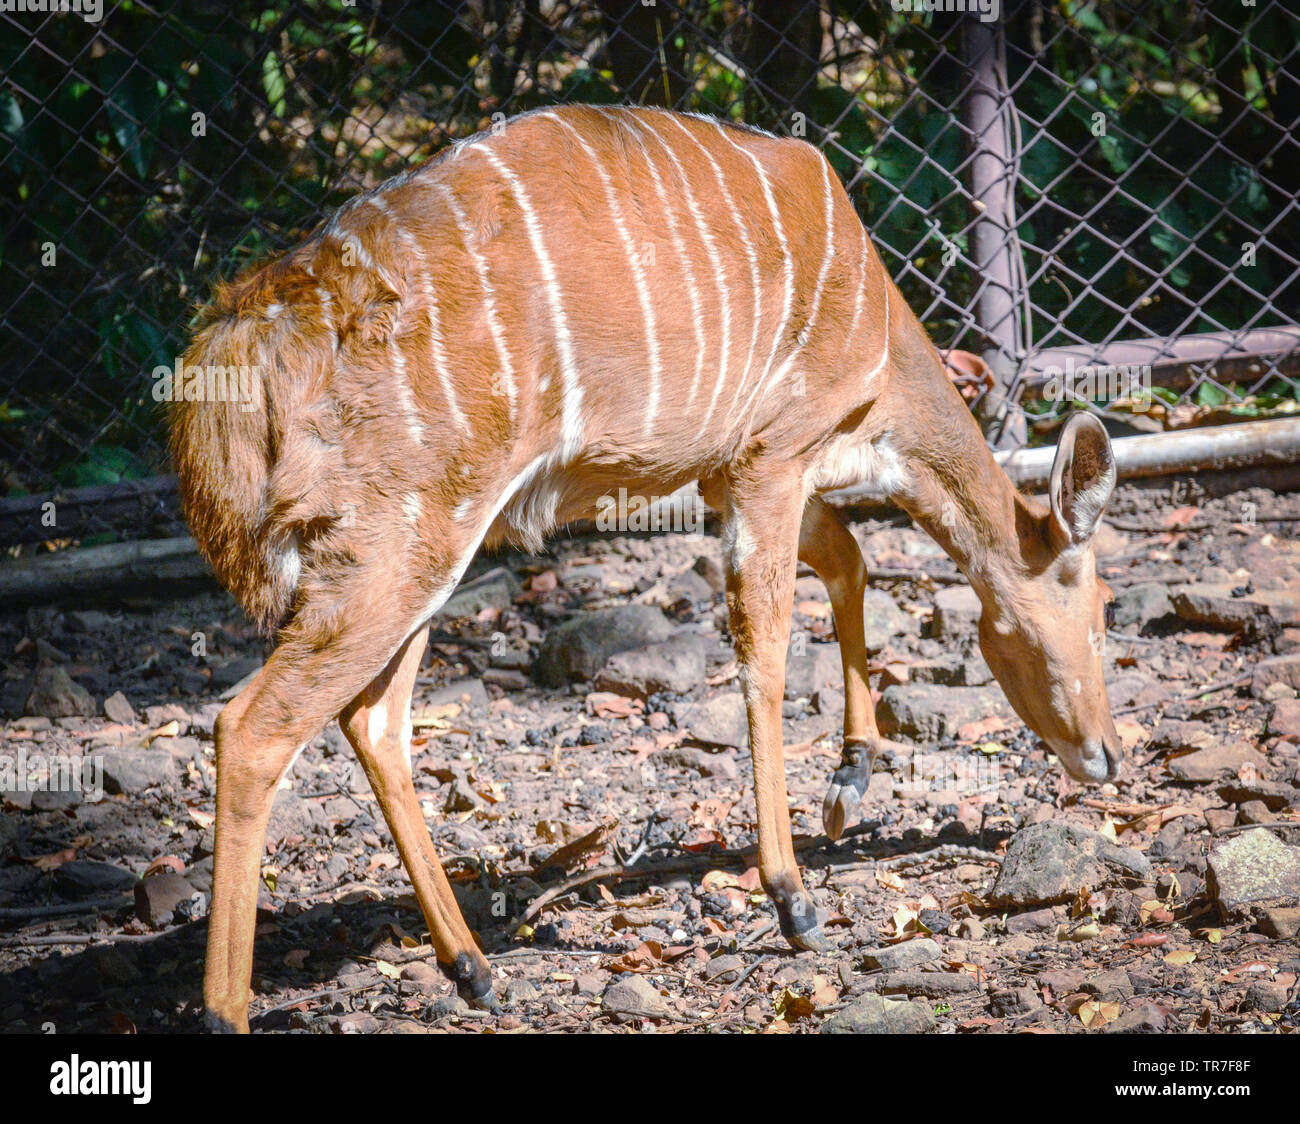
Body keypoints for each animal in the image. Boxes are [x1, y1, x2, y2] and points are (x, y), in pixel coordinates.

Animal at [171, 104, 1121, 1032]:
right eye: (1099, 604)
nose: (1109, 757)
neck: (881, 344)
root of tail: (241, 348)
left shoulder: (733, 467)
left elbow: (849, 563)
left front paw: (850, 782)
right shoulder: (775, 453)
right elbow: (766, 654)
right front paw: (793, 899)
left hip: (414, 550)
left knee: (373, 721)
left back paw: (477, 972)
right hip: (404, 539)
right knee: (252, 728)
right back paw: (226, 1011)